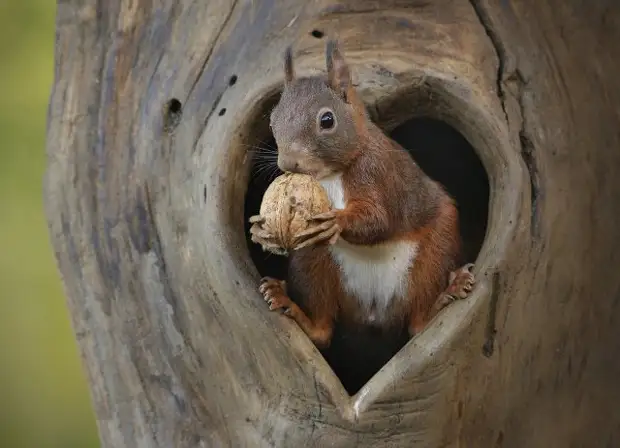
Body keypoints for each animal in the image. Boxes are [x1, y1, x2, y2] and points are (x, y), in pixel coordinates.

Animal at [247, 41, 474, 350]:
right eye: (272, 120)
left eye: (327, 120)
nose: (289, 163)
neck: (330, 176)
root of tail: (373, 313)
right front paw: (260, 229)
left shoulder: (379, 174)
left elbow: (379, 220)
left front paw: (336, 221)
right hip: (312, 260)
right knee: (322, 330)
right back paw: (288, 304)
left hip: (438, 249)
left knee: (418, 323)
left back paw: (444, 296)